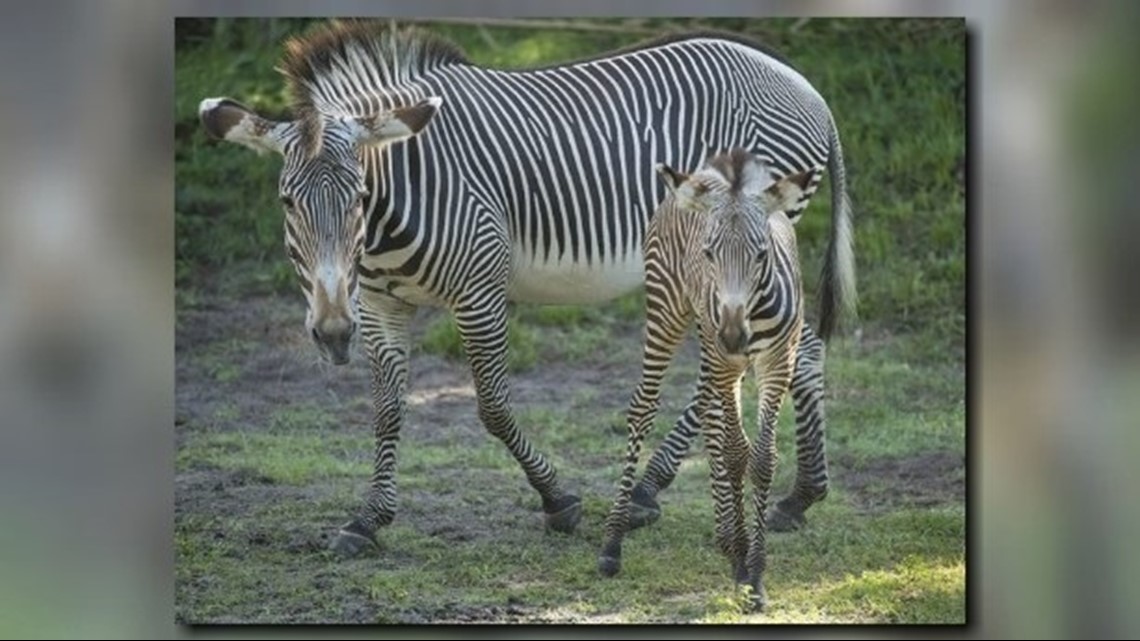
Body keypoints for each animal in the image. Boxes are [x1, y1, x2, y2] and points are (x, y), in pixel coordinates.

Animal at [195, 19, 855, 559]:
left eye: (358, 197)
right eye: (287, 202)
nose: (332, 335)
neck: (395, 200)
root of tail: (807, 88)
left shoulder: (480, 289)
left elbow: (490, 405)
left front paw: (557, 500)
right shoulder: (381, 304)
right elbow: (386, 410)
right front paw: (368, 519)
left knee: (744, 360)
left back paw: (648, 490)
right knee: (801, 349)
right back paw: (799, 496)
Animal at [598, 149, 811, 611]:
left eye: (761, 254)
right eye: (709, 253)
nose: (732, 334)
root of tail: (704, 172)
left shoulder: (778, 362)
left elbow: (761, 459)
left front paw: (753, 571)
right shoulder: (726, 359)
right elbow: (735, 453)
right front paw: (745, 570)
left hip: (711, 346)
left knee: (710, 417)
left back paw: (727, 539)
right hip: (669, 310)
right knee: (644, 409)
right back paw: (612, 544)